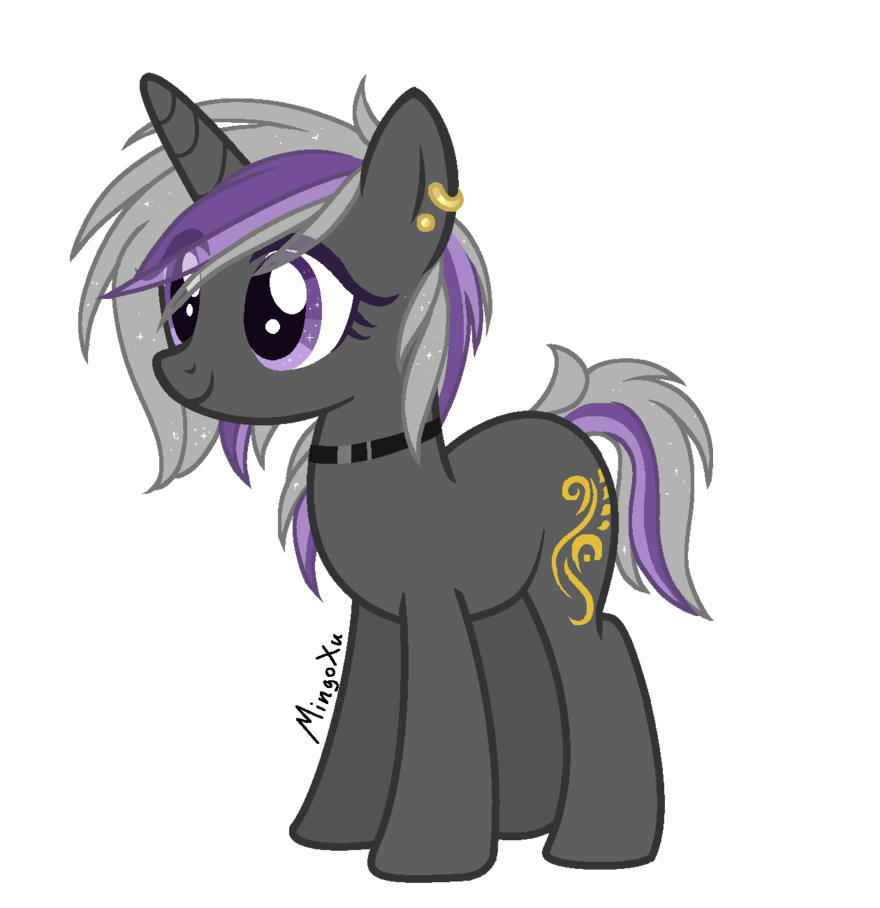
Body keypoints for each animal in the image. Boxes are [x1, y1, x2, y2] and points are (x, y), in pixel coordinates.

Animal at [72, 73, 715, 882]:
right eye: (183, 304)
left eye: (280, 320)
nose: (178, 367)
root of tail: (568, 423)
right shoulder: (379, 623)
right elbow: (367, 718)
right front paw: (334, 832)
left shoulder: (431, 606)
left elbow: (440, 717)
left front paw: (425, 859)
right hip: (506, 601)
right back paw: (525, 822)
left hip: (564, 582)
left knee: (601, 656)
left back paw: (602, 845)